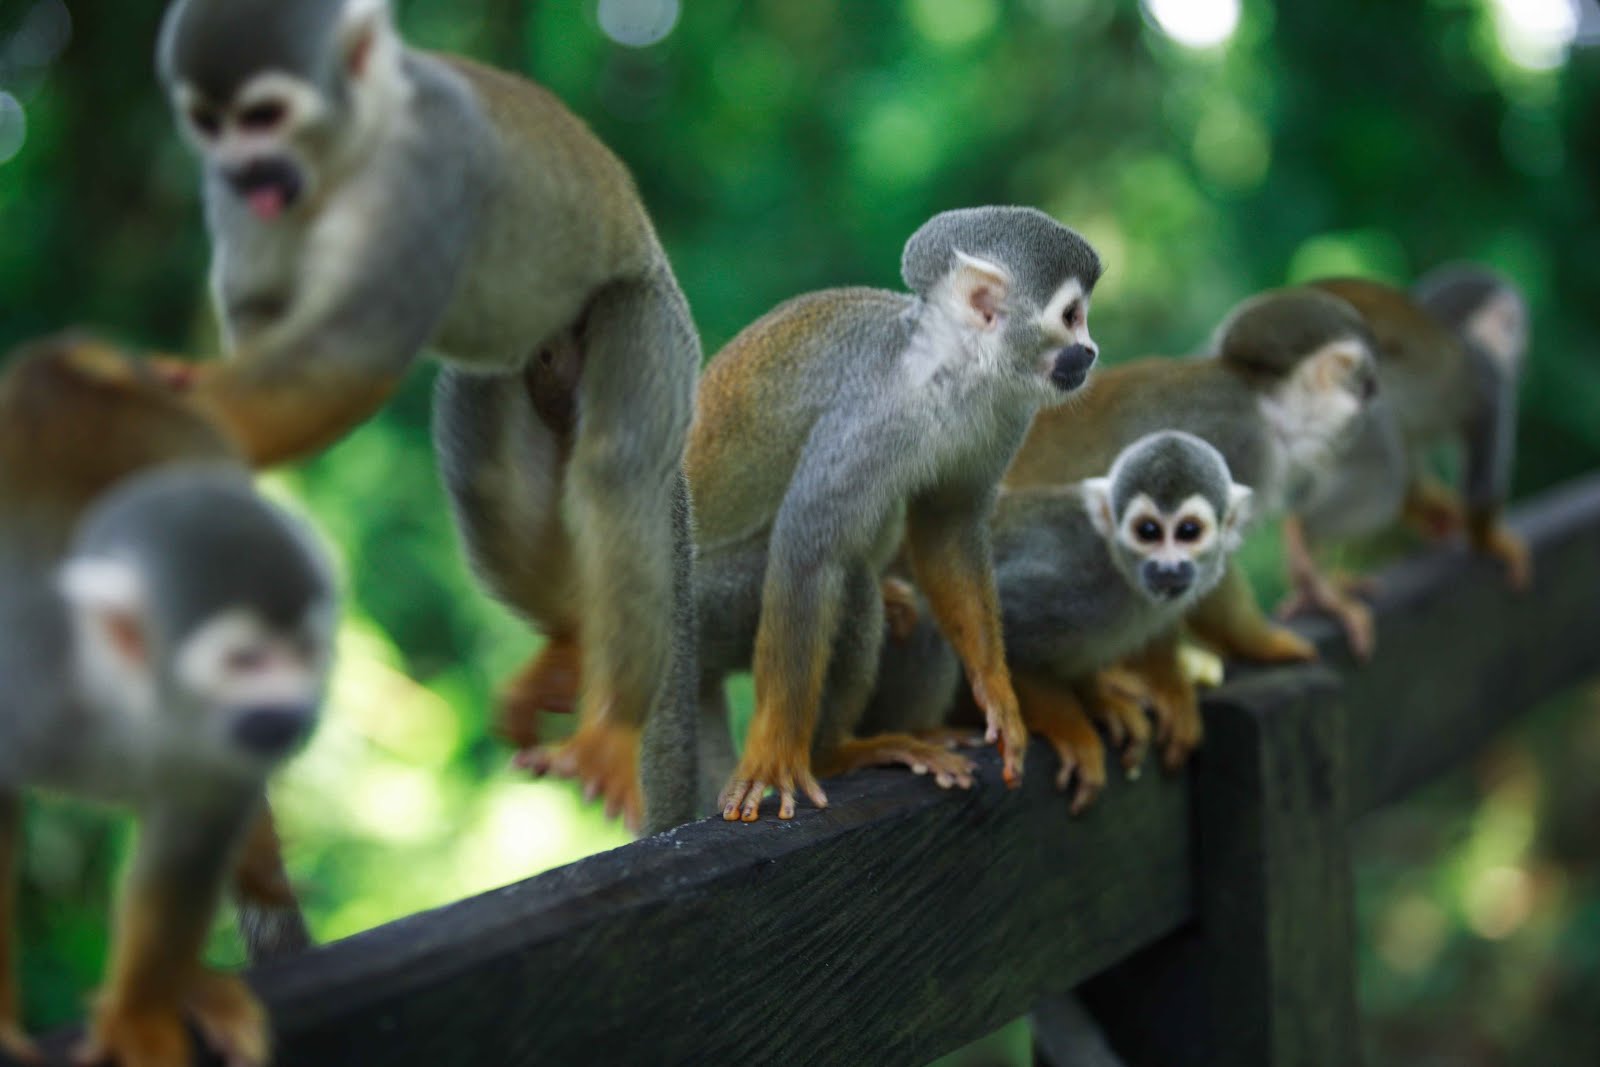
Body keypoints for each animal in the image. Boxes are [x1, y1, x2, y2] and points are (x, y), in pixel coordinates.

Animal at [0, 337, 337, 1067]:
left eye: (305, 651)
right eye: (242, 660)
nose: (291, 714)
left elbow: (193, 836)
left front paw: (140, 1016)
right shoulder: (22, 683)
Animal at [155, 0, 702, 833]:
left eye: (264, 115)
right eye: (210, 123)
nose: (244, 169)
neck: (346, 154)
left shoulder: (432, 169)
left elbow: (354, 352)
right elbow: (265, 321)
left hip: (647, 317)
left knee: (615, 469)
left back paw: (612, 727)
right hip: (525, 366)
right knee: (485, 469)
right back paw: (571, 642)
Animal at [686, 206, 1102, 821]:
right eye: (1072, 317)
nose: (1091, 351)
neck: (950, 374)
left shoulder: (1008, 409)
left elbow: (948, 526)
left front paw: (997, 693)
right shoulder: (869, 415)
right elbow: (808, 550)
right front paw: (774, 756)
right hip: (708, 606)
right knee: (845, 580)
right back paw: (837, 752)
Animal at [861, 431, 1256, 810]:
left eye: (1188, 531)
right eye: (1148, 531)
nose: (1167, 568)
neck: (1119, 570)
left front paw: (1100, 699)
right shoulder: (1072, 580)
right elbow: (1007, 640)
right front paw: (1073, 730)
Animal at [1278, 268, 1531, 656]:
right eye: (1509, 324)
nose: (1515, 344)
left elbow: (1413, 479)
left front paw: (1442, 516)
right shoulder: (1489, 377)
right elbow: (1482, 483)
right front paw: (1490, 541)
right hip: (1345, 406)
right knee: (1384, 469)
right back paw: (1300, 530)